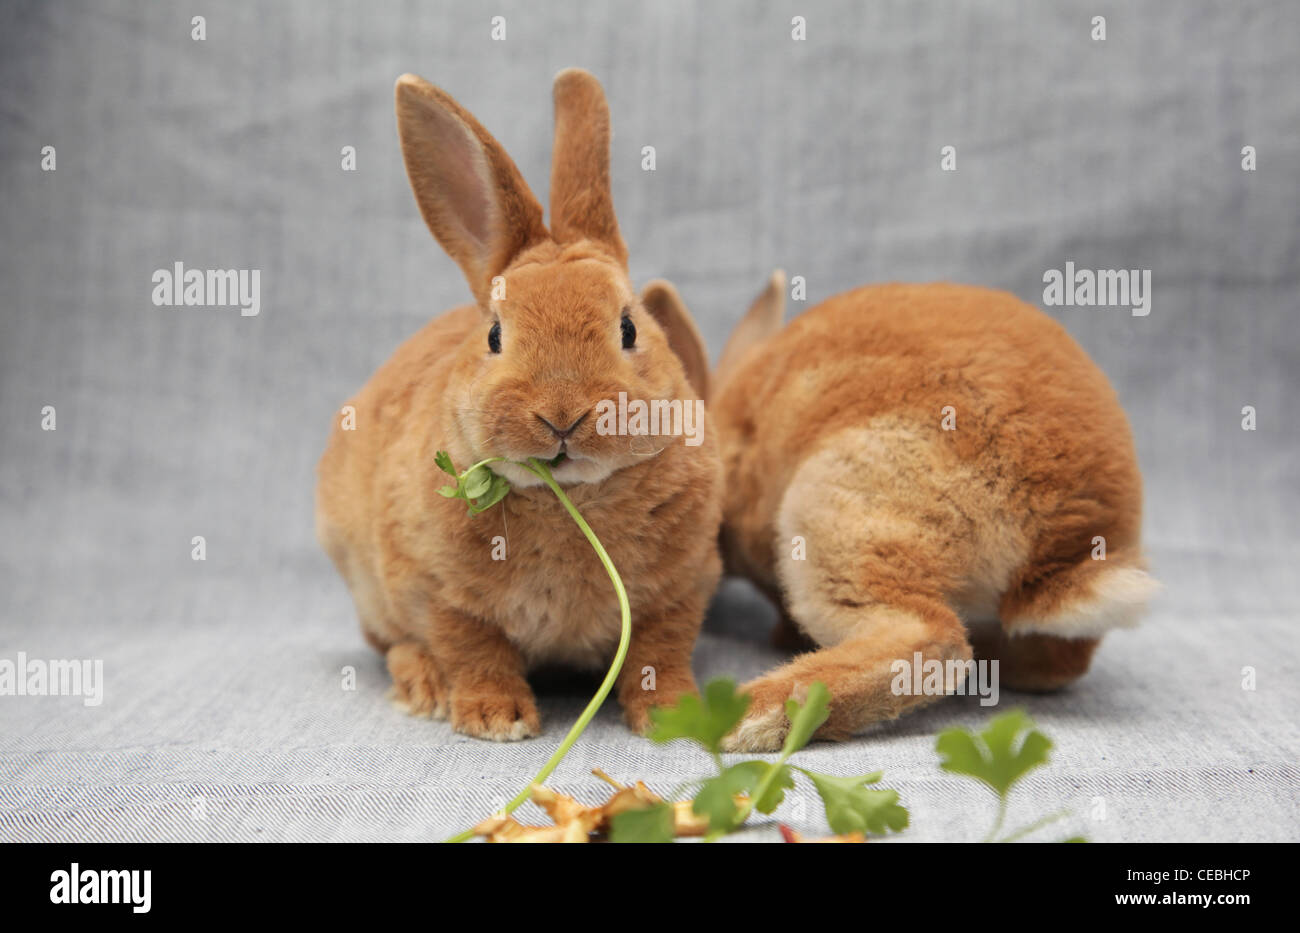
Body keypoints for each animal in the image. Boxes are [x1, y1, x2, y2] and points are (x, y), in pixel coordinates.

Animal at [315, 70, 722, 742]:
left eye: (629, 328)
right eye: (494, 335)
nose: (562, 416)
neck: (569, 499)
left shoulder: (679, 593)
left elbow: (657, 657)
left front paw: (672, 718)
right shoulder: (440, 595)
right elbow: (474, 652)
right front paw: (496, 720)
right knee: (394, 644)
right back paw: (423, 688)